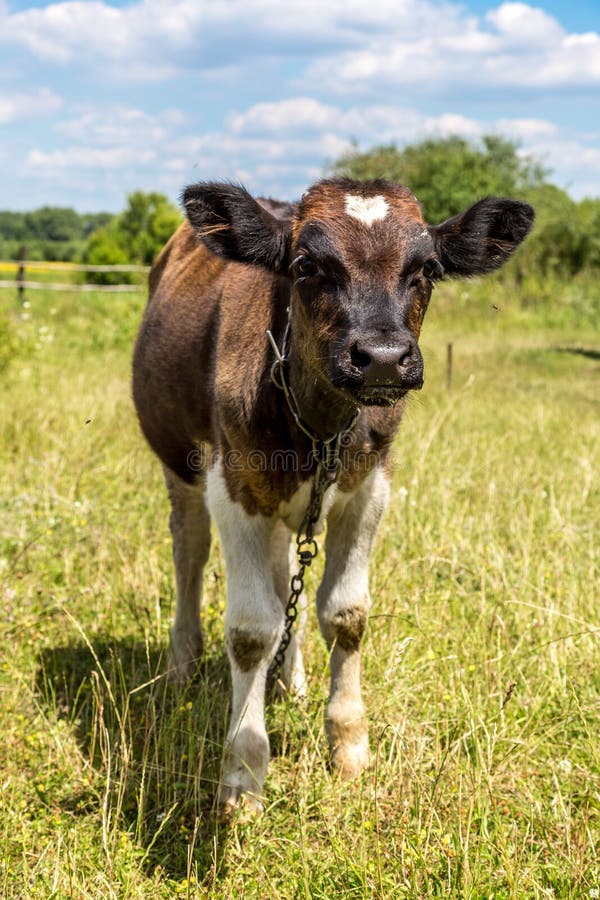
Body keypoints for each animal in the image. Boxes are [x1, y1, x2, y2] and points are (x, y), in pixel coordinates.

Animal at [132, 177, 533, 817]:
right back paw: (182, 663)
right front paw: (244, 768)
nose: (383, 359)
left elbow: (345, 613)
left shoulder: (369, 487)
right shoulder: (232, 481)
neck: (317, 423)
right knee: (190, 553)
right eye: (306, 264)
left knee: (282, 575)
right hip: (181, 465)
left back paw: (289, 680)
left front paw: (349, 745)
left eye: (427, 268)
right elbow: (250, 629)